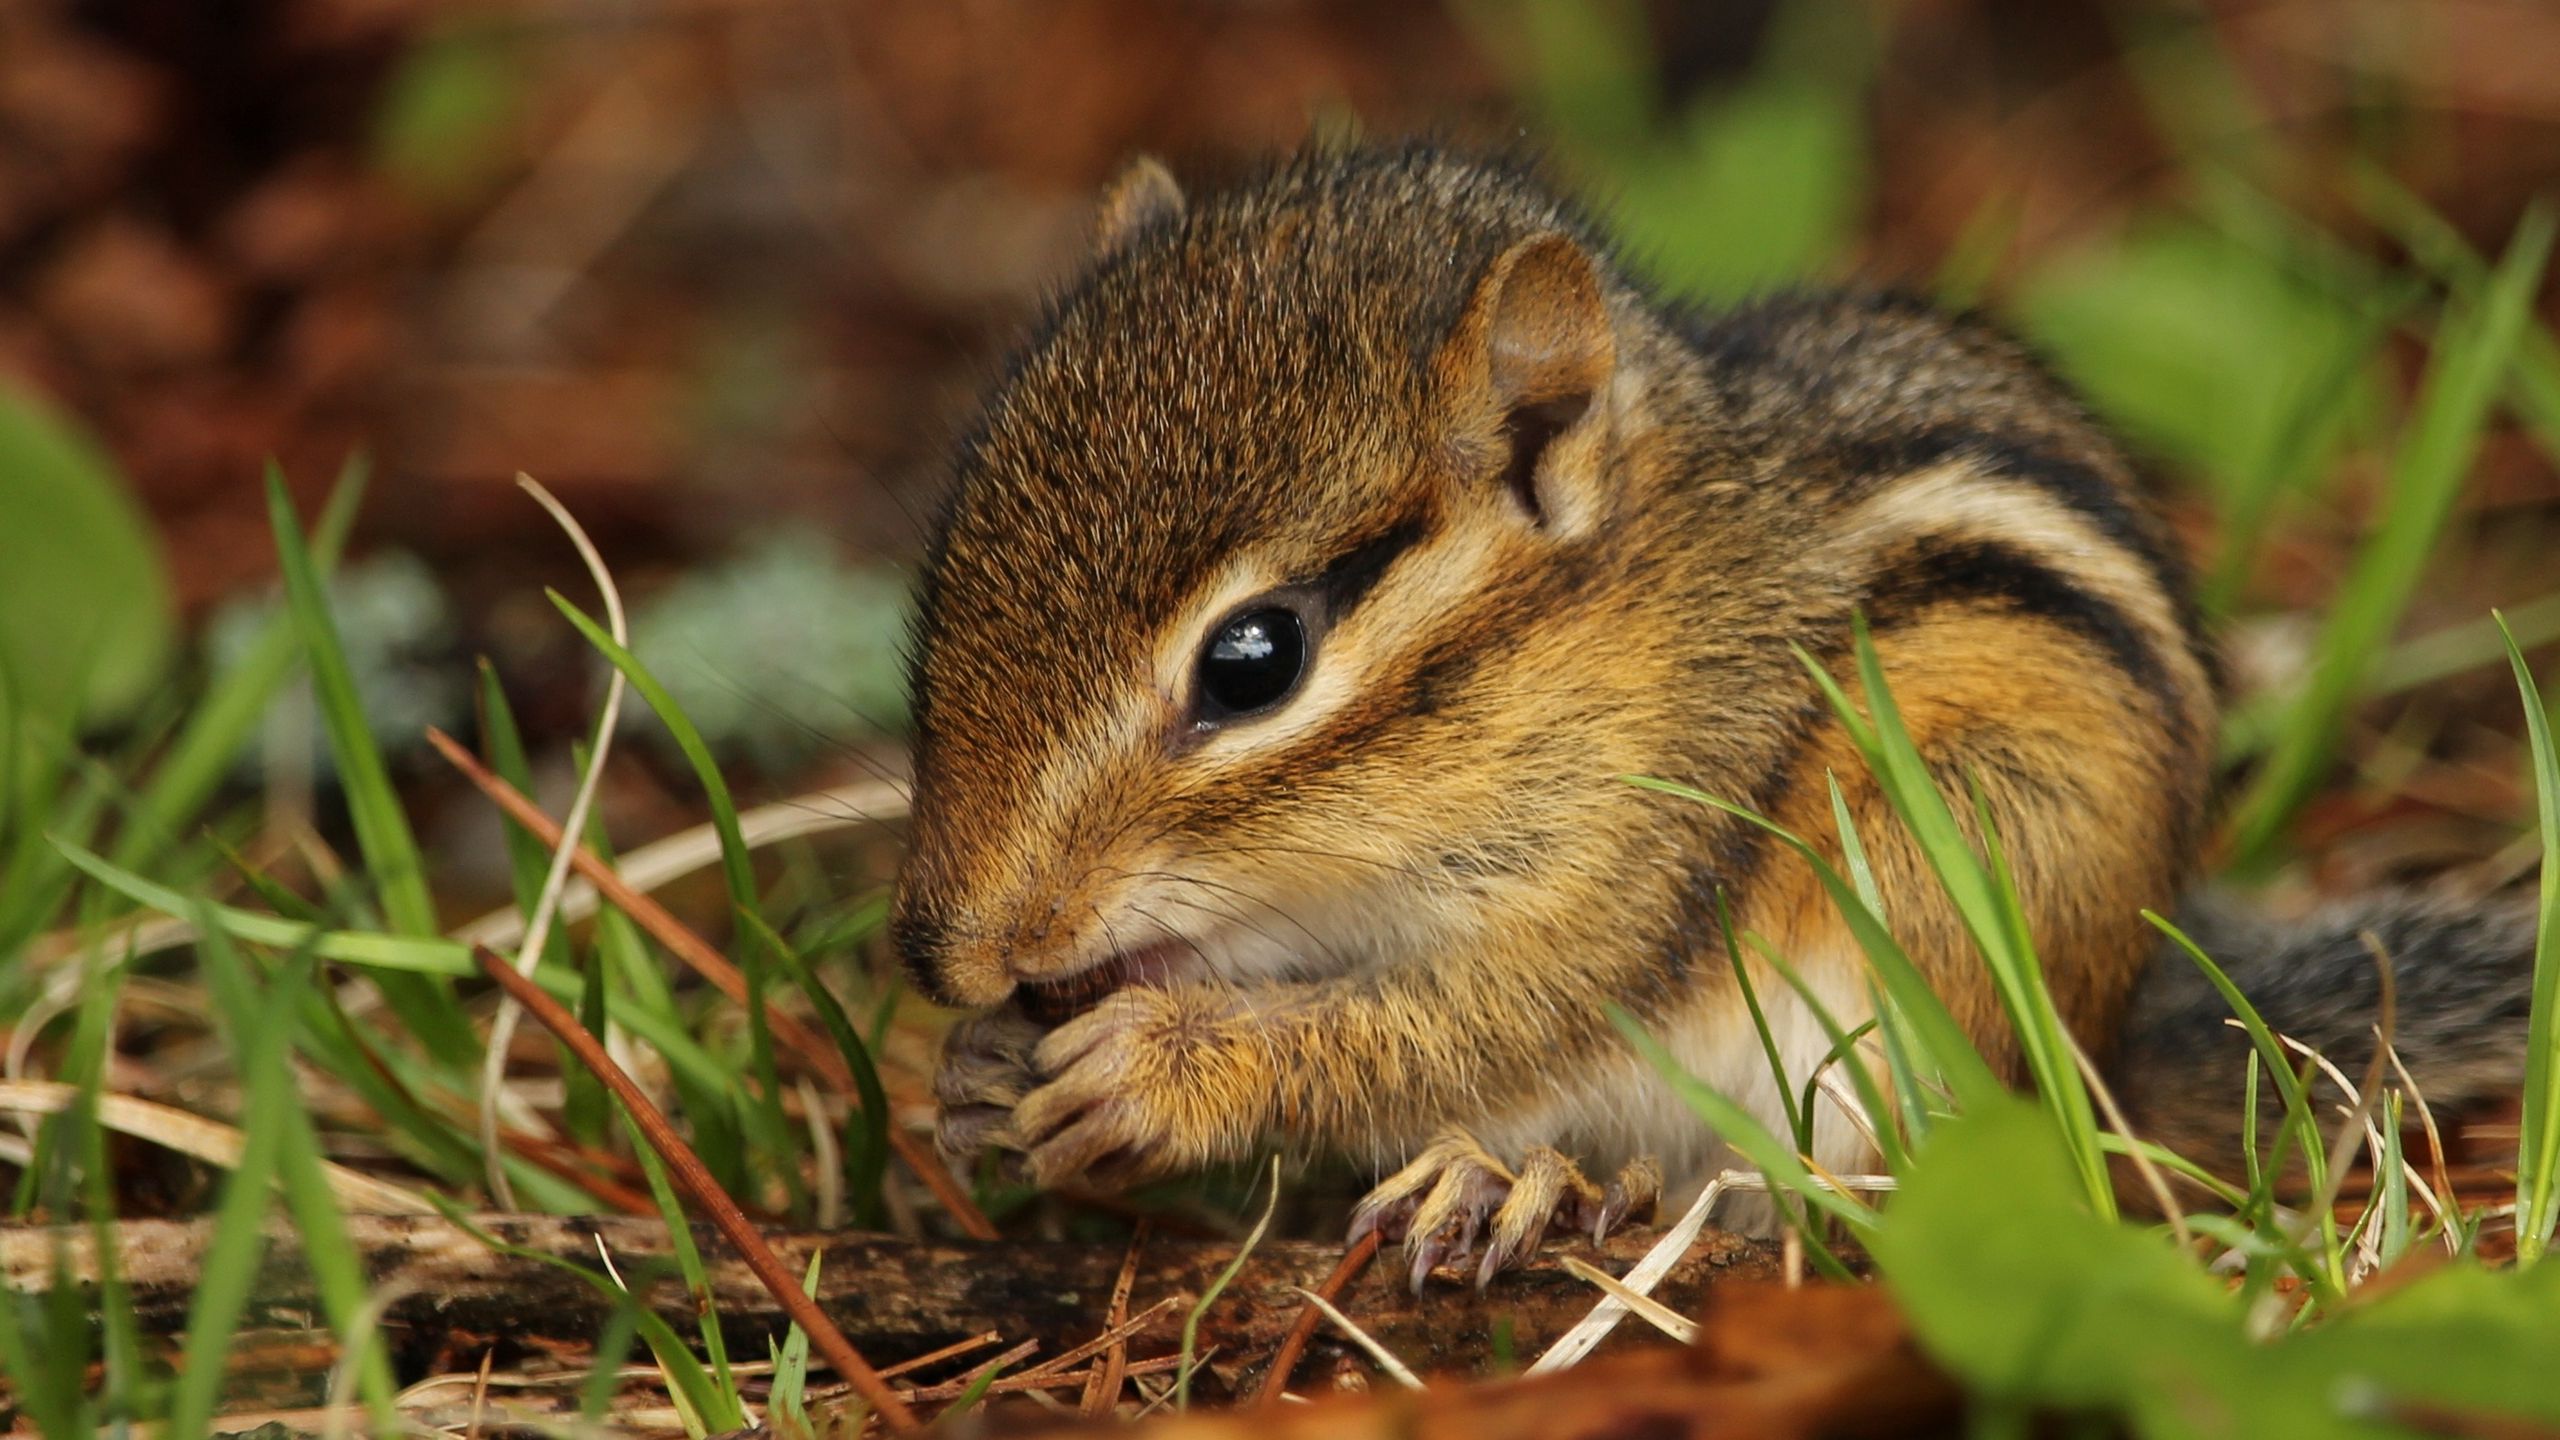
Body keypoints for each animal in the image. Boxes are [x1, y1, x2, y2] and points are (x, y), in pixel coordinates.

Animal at [888, 143, 2541, 1281]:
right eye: (950, 553)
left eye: (1254, 660)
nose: (942, 952)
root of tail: (2109, 1055)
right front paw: (973, 1078)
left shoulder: (1654, 849)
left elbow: (1468, 1024)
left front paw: (1173, 1070)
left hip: (1938, 924)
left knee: (1844, 1193)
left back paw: (1554, 1187)